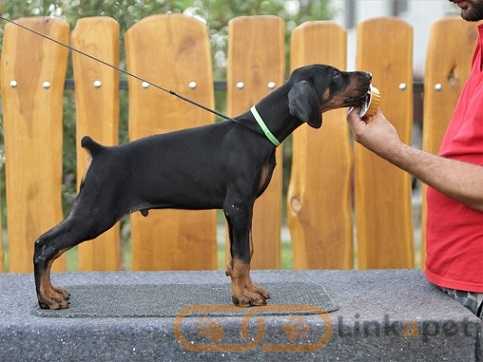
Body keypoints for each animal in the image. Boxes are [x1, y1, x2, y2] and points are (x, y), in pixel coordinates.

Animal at [34, 64, 372, 308]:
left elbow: (244, 252)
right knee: (45, 245)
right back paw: (46, 299)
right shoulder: (238, 204)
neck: (257, 132)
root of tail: (101, 151)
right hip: (96, 212)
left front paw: (248, 290)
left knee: (45, 244)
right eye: (336, 75)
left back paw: (52, 294)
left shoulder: (239, 208)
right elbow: (242, 256)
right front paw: (244, 297)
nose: (368, 75)